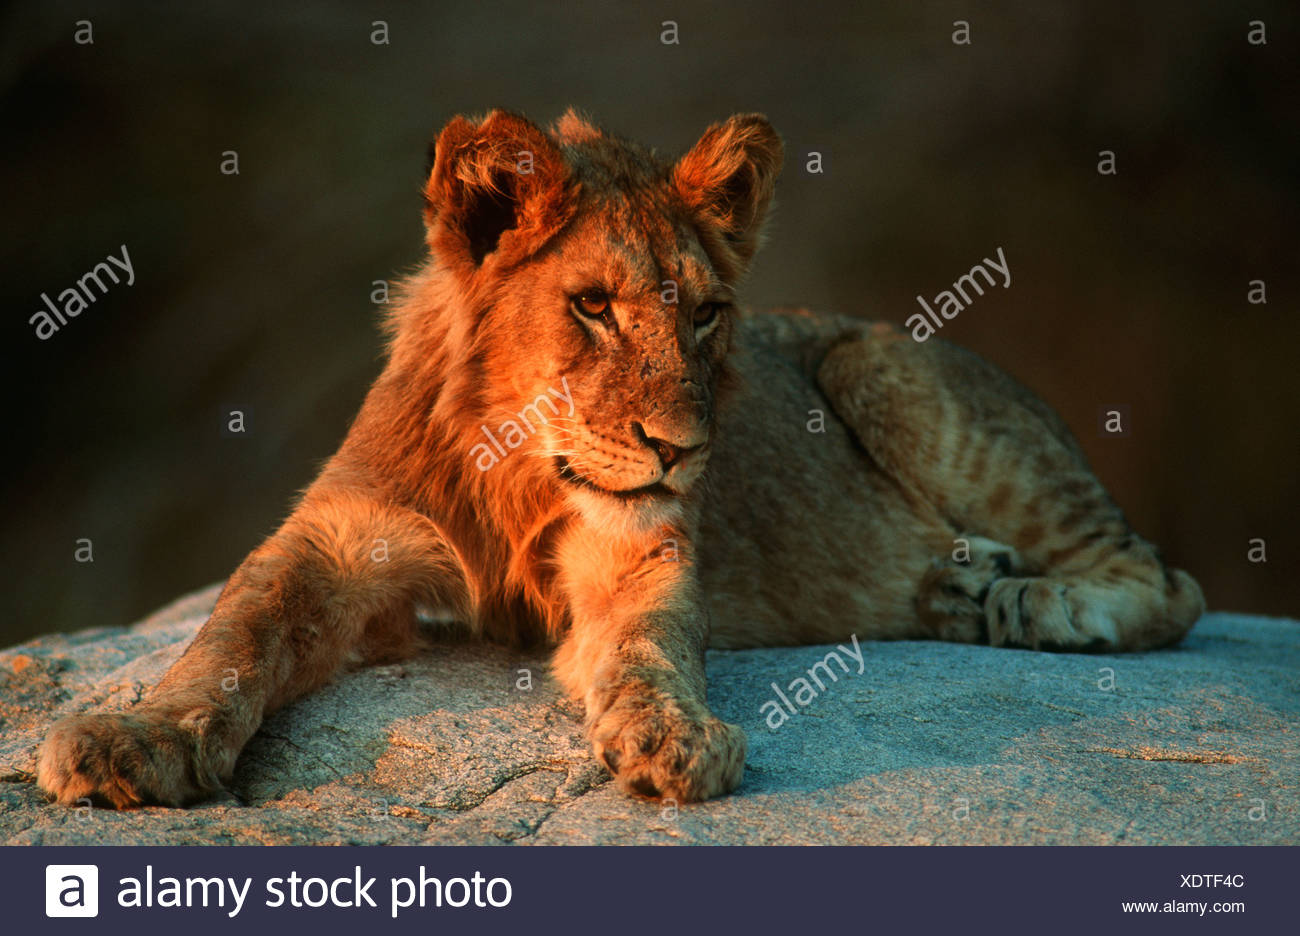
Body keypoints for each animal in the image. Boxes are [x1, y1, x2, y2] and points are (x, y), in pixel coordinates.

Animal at [36, 109, 1205, 807]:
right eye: (592, 307)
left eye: (706, 315)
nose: (681, 451)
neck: (511, 472)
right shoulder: (340, 540)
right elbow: (233, 631)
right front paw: (129, 740)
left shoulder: (635, 554)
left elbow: (648, 647)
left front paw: (674, 737)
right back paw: (960, 592)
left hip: (883, 363)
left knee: (1169, 580)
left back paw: (1028, 604)